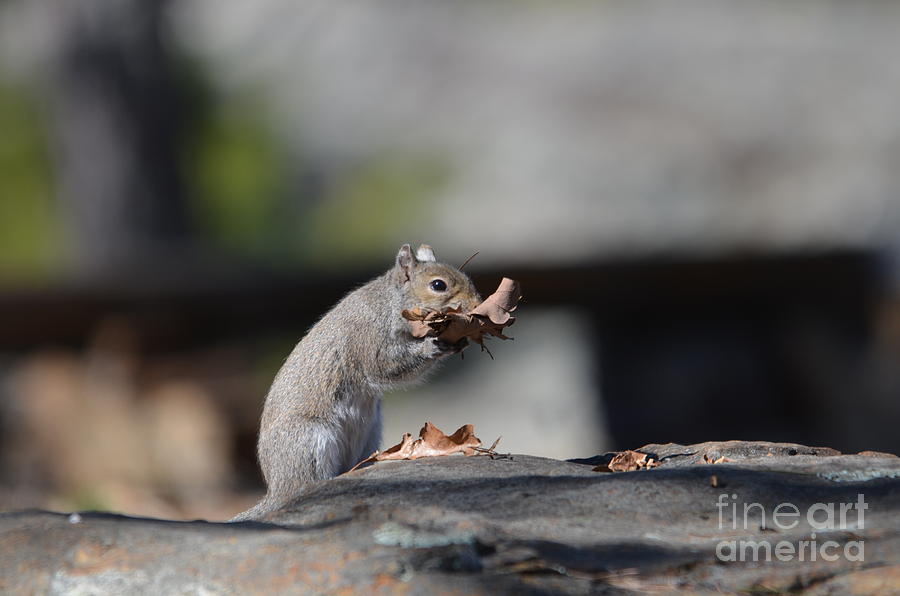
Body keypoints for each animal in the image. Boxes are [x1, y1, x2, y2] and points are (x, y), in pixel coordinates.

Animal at [231, 243, 481, 521]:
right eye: (438, 285)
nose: (477, 304)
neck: (390, 302)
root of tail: (276, 491)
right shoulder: (368, 336)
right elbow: (384, 367)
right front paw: (434, 345)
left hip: (371, 431)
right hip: (310, 440)